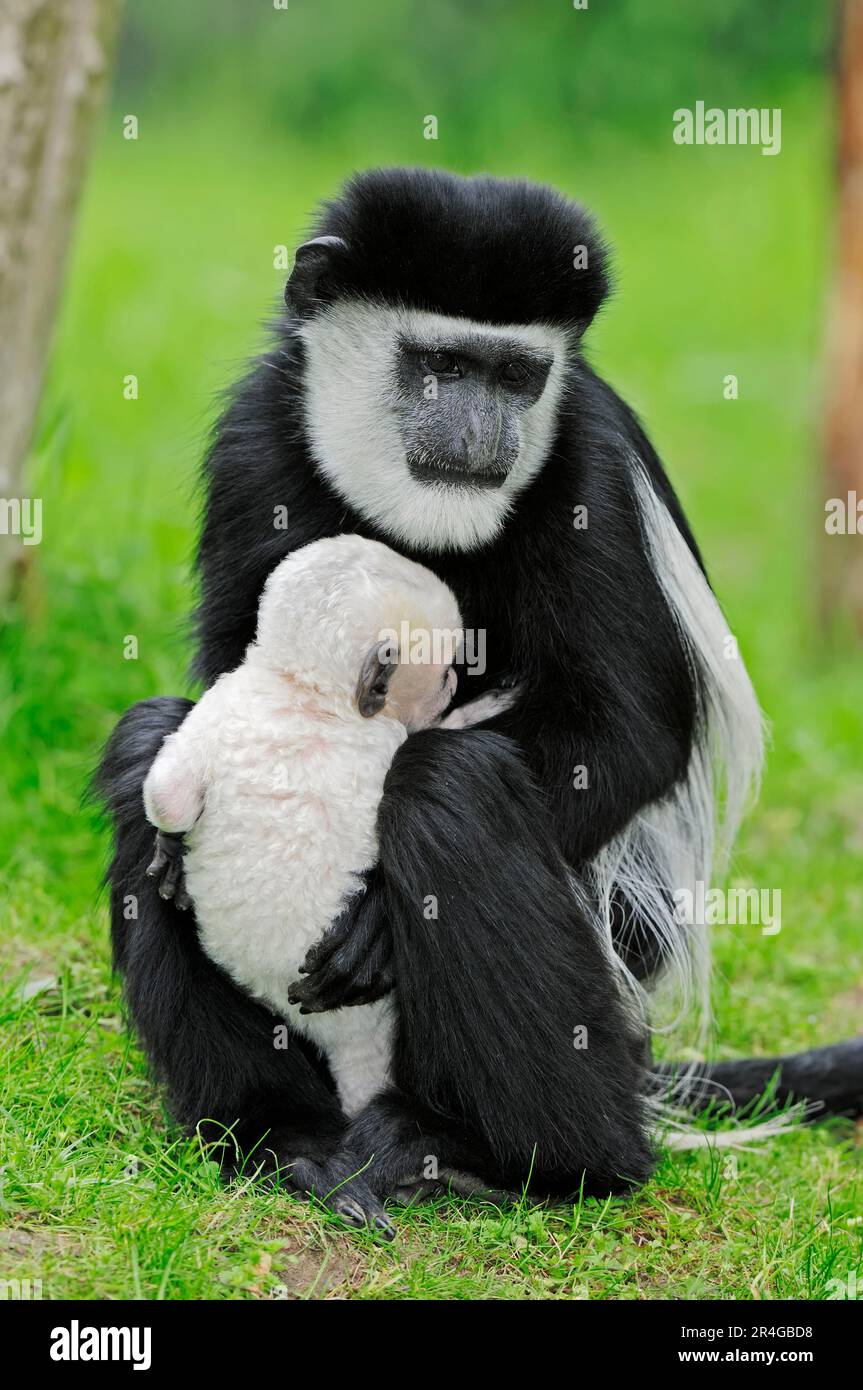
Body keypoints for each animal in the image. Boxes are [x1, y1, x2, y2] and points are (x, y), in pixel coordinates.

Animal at [95, 167, 863, 1234]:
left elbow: (627, 728)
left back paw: (514, 1156)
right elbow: (221, 669)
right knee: (146, 744)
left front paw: (377, 916)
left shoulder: (586, 460)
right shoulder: (258, 435)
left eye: (516, 378)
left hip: (612, 958)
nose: (480, 432)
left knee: (451, 787)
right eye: (442, 366)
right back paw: (285, 1139)